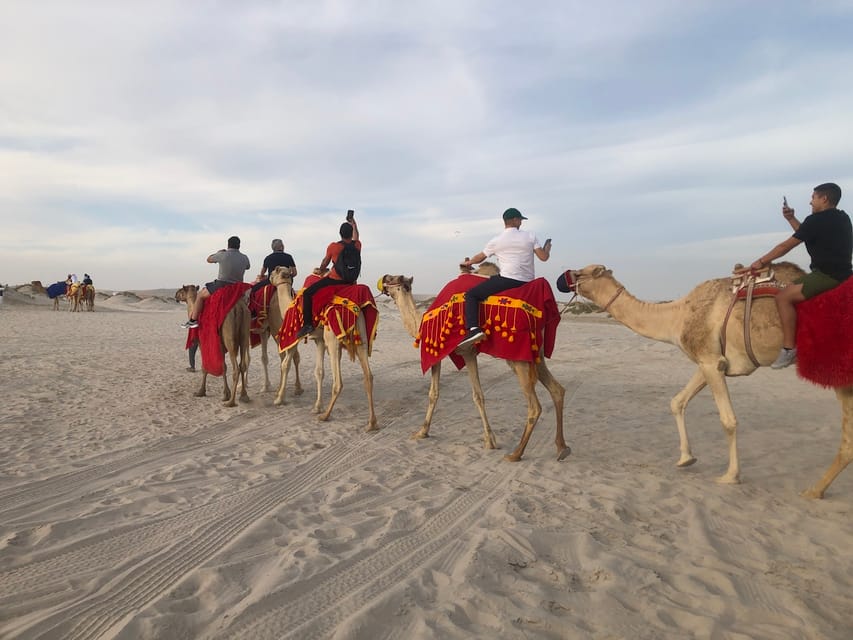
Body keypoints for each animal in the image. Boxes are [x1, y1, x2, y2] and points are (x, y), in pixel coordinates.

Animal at [273, 267, 378, 431]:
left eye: (274, 271)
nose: (268, 277)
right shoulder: (320, 340)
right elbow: (319, 372)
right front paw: (317, 407)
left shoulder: (295, 336)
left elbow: (285, 364)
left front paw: (279, 399)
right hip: (361, 337)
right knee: (368, 376)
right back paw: (372, 423)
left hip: (333, 338)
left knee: (338, 382)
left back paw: (325, 416)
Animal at [379, 267, 569, 461]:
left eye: (393, 279)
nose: (384, 278)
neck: (421, 322)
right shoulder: (443, 353)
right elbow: (435, 393)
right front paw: (423, 432)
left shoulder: (465, 352)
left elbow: (475, 395)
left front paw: (490, 441)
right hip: (537, 356)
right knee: (557, 390)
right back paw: (562, 448)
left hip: (518, 359)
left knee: (534, 406)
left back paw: (516, 454)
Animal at [565, 262, 853, 498]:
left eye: (581, 273)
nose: (565, 276)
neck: (678, 315)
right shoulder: (710, 361)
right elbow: (677, 402)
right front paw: (685, 458)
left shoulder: (710, 362)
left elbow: (728, 420)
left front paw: (730, 476)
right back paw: (815, 491)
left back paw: (813, 490)